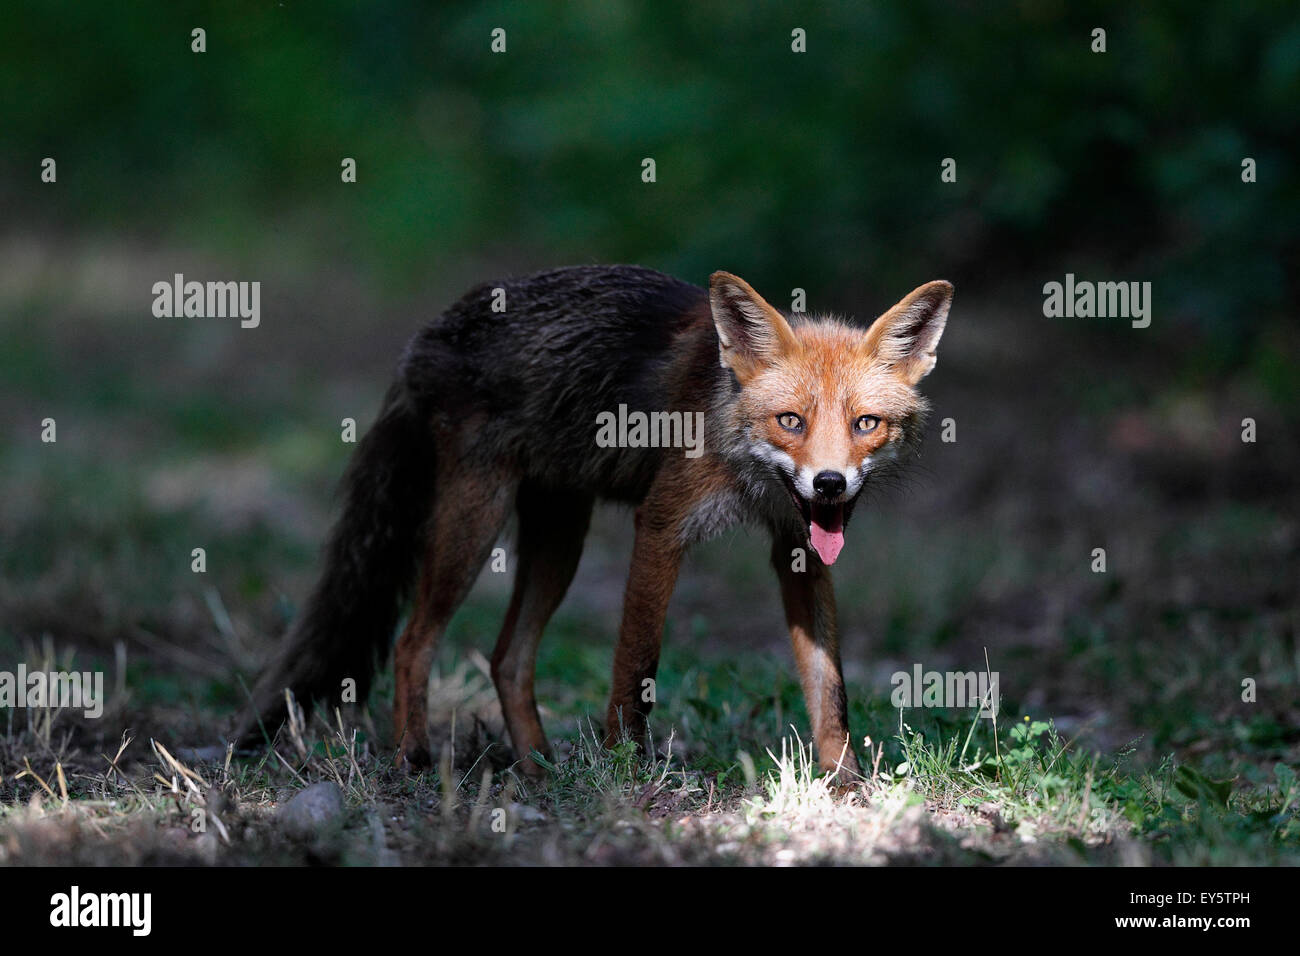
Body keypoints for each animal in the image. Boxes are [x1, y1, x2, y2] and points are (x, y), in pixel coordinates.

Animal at [236, 265, 952, 779]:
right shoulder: (661, 524)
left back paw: (538, 770)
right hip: (474, 523)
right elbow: (637, 665)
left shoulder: (797, 547)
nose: (829, 483)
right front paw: (626, 769)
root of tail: (430, 332)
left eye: (865, 423)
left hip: (559, 539)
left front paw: (845, 781)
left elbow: (830, 687)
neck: (734, 447)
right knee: (414, 642)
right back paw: (413, 757)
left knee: (507, 658)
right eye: (791, 422)